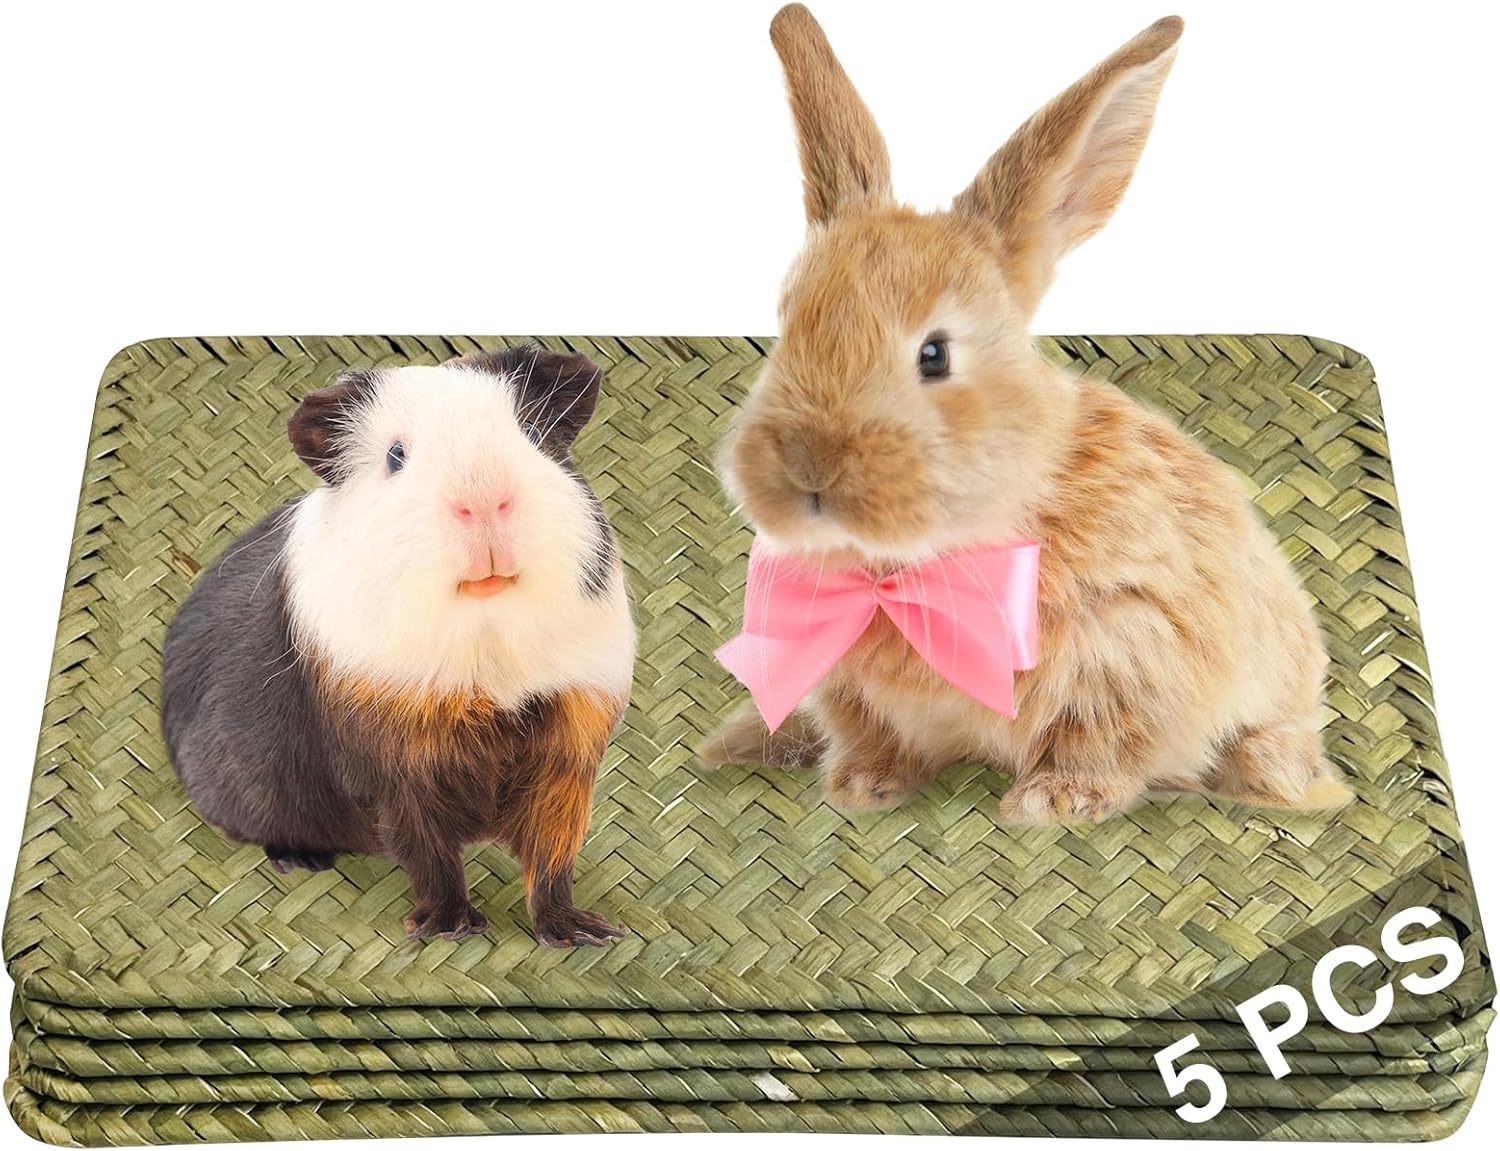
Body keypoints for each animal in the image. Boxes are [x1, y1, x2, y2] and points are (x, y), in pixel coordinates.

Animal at [701, 4, 1353, 824]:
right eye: (787, 327)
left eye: (935, 355)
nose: (807, 462)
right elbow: (873, 737)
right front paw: (861, 787)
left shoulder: (1130, 646)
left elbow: (1099, 743)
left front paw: (1051, 803)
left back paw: (1285, 782)